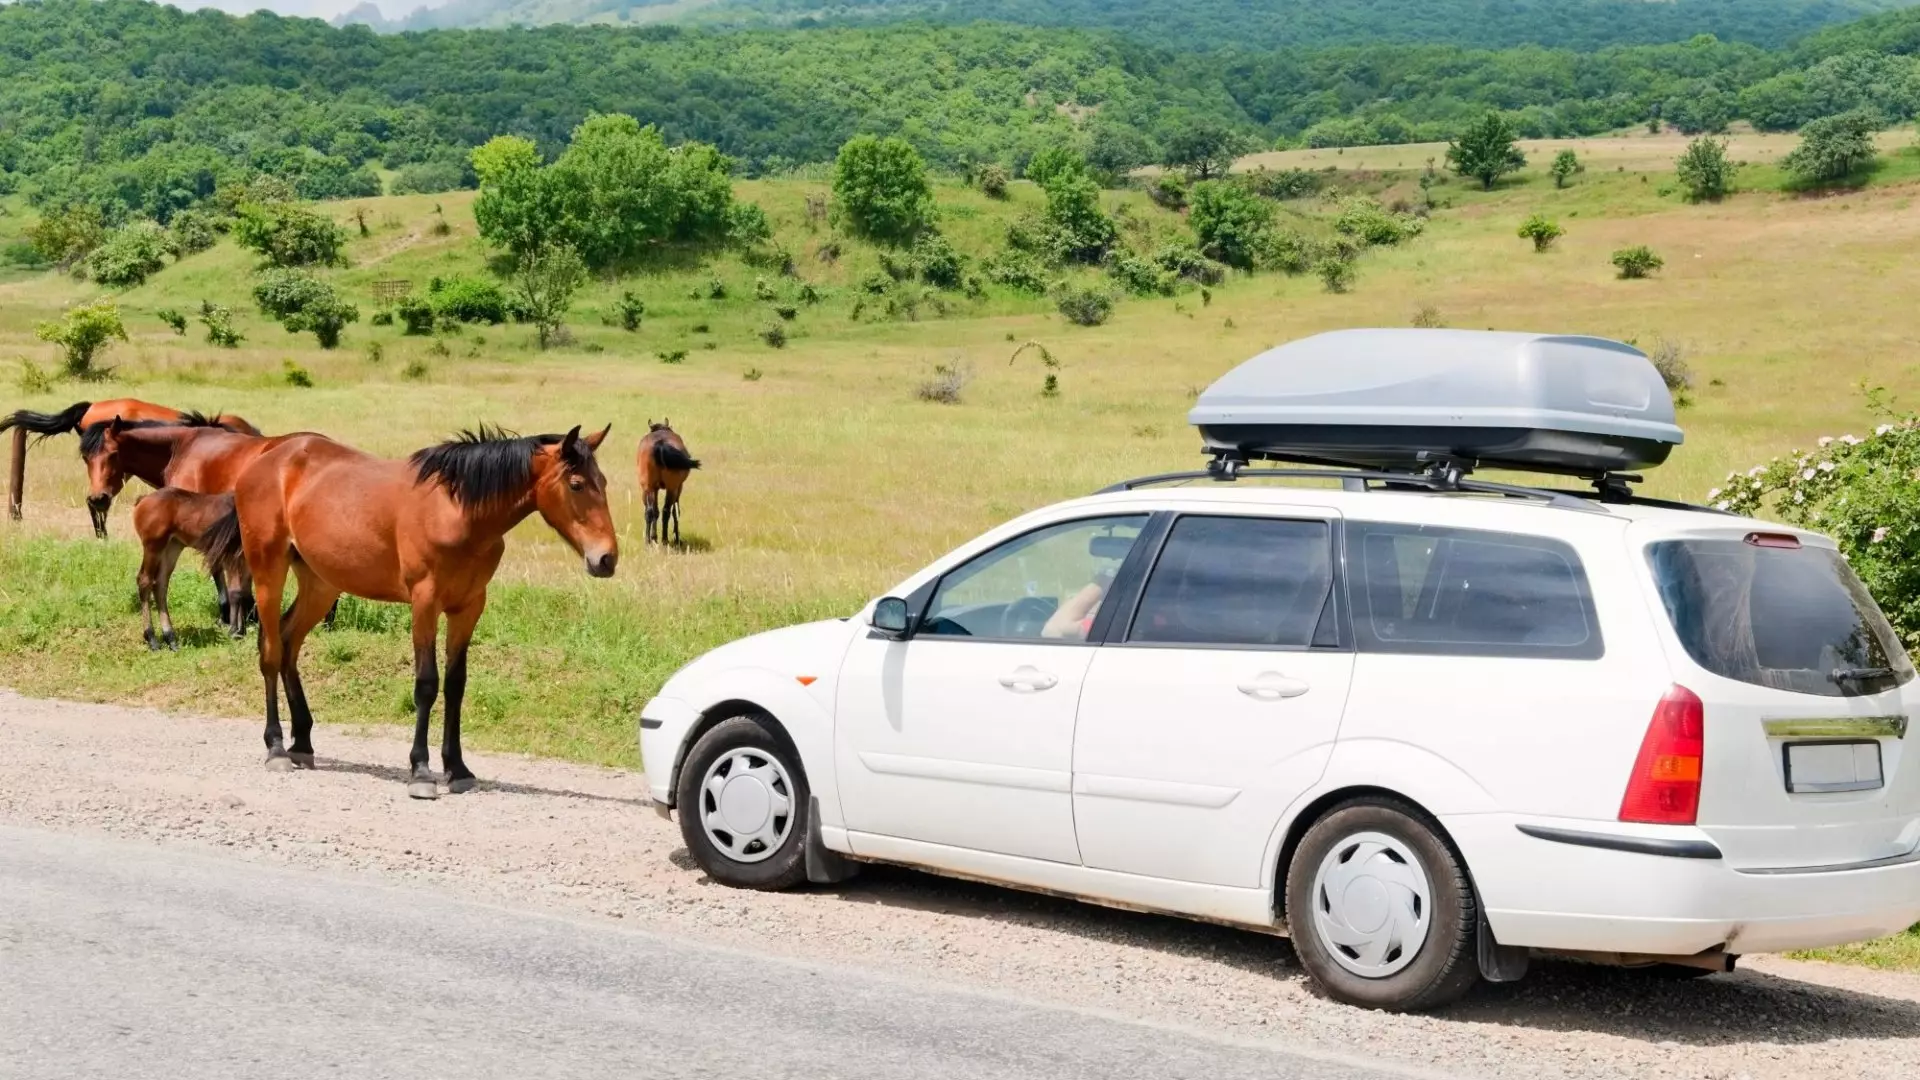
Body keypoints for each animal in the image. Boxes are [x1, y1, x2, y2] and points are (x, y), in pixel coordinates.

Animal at [132, 488, 251, 645]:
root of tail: (143, 499)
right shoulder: (231, 557)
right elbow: (236, 592)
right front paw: (233, 631)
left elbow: (244, 593)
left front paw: (241, 631)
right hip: (153, 547)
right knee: (144, 581)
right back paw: (152, 638)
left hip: (173, 547)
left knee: (160, 584)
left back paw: (170, 637)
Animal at [221, 424, 618, 795]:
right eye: (577, 484)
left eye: (603, 481)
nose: (606, 559)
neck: (456, 511)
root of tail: (267, 455)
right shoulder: (425, 603)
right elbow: (427, 683)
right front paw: (422, 771)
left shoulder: (468, 607)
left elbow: (456, 685)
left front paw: (458, 769)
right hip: (268, 572)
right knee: (271, 652)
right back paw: (276, 748)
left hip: (320, 584)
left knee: (289, 642)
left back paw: (302, 743)